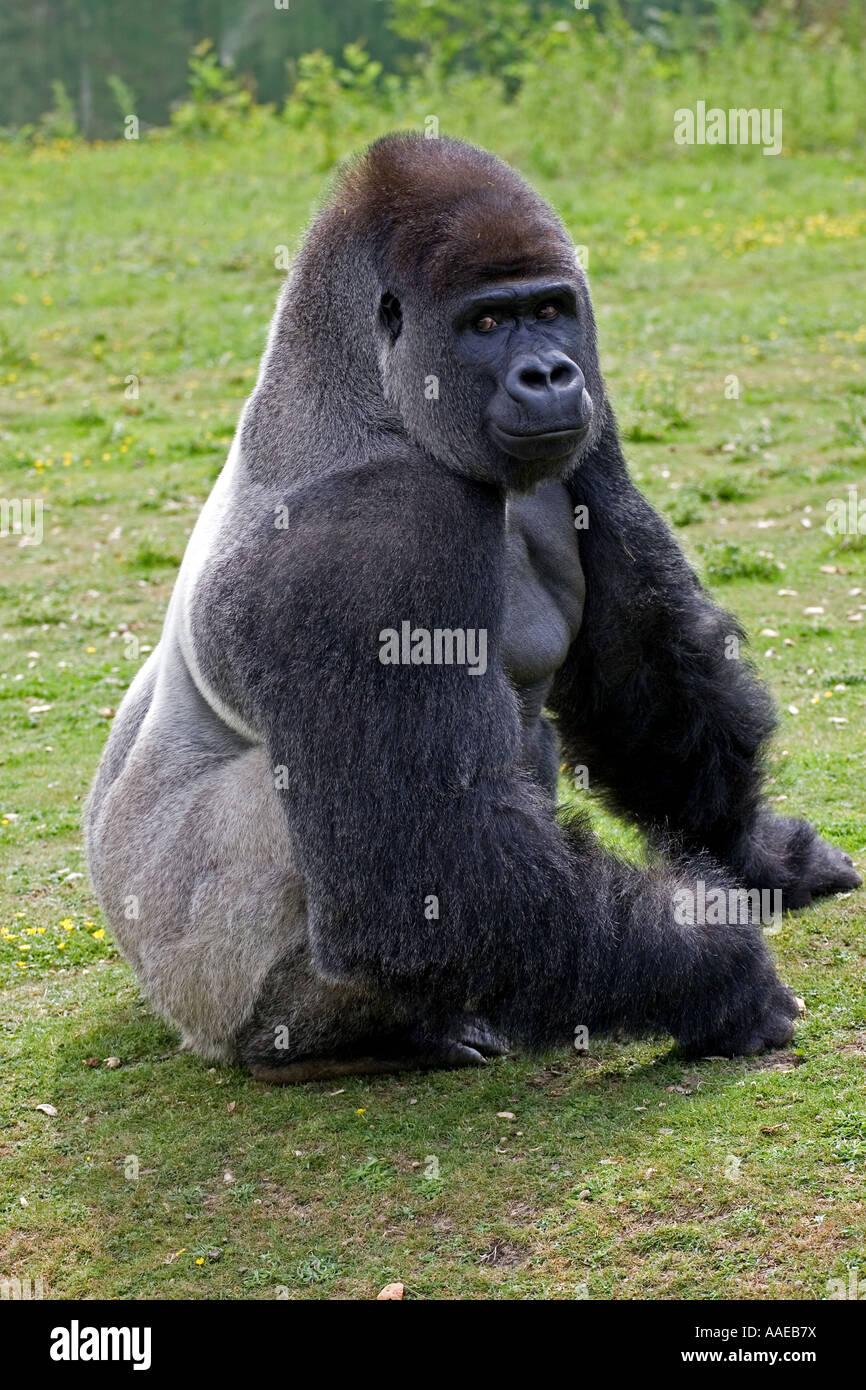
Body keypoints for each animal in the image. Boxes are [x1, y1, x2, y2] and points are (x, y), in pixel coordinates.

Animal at [84, 133, 860, 1081]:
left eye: (551, 309)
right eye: (486, 324)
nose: (549, 373)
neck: (368, 391)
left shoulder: (590, 427)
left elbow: (640, 670)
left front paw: (758, 855)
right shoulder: (377, 536)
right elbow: (429, 874)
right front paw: (718, 977)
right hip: (211, 992)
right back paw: (378, 1040)